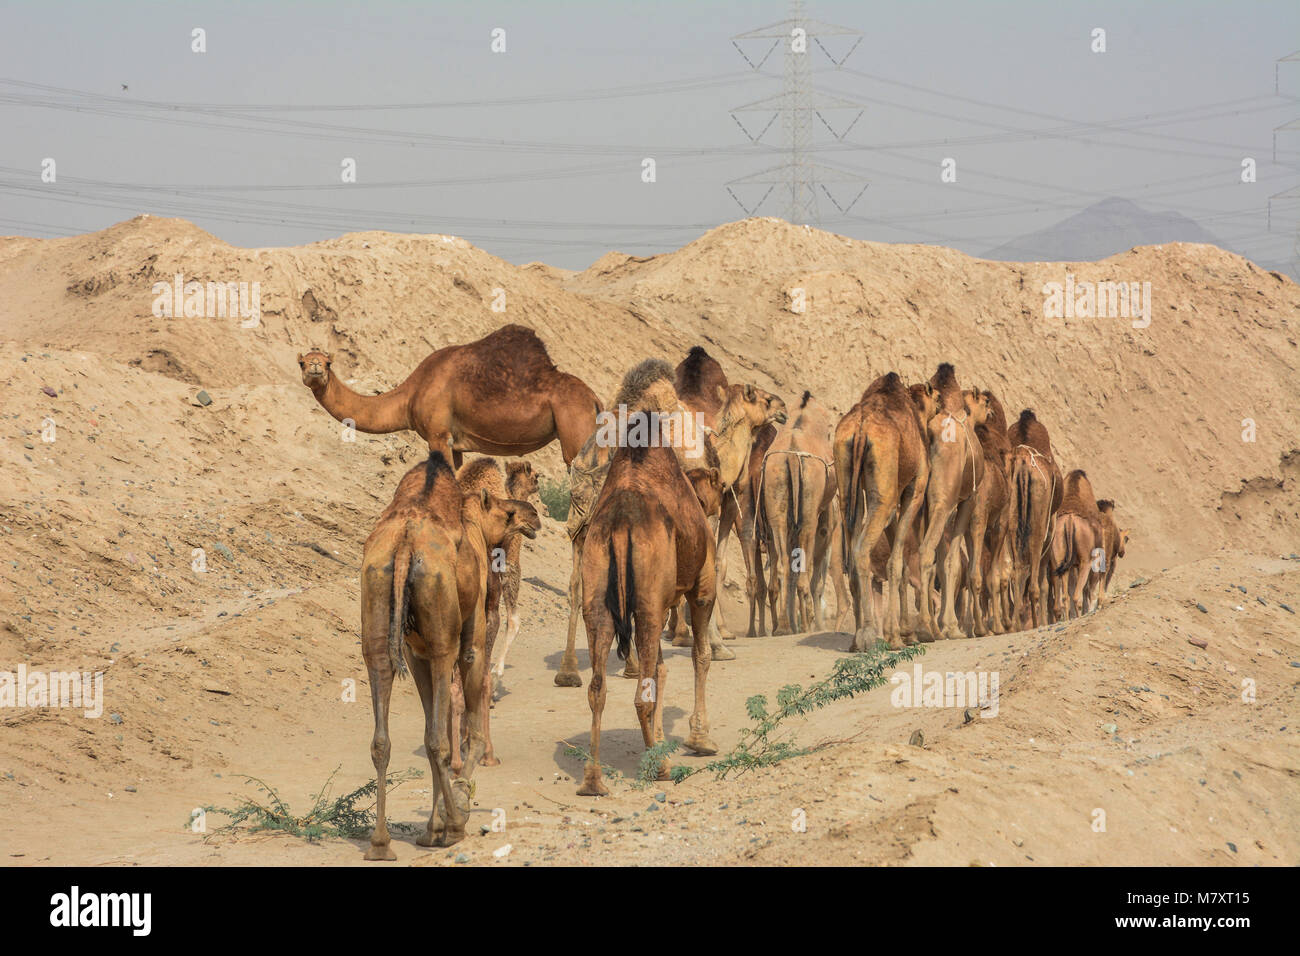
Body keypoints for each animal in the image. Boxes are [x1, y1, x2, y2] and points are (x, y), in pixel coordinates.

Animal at [298, 324, 601, 467]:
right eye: (302, 362)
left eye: (328, 362)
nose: (315, 367)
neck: (412, 392)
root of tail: (595, 400)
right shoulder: (456, 445)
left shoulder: (438, 435)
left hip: (574, 427)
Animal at [359, 452, 536, 858]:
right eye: (507, 512)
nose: (533, 515)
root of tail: (405, 547)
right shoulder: (472, 635)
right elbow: (473, 714)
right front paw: (455, 809)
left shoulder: (416, 654)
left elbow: (431, 727)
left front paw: (432, 824)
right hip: (444, 643)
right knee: (442, 734)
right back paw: (454, 823)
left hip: (379, 631)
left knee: (385, 739)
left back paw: (381, 843)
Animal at [576, 442, 718, 795]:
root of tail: (619, 526)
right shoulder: (703, 584)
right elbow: (701, 655)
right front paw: (700, 739)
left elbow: (660, 669)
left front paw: (663, 739)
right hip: (648, 601)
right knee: (641, 695)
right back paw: (661, 768)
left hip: (595, 588)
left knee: (597, 687)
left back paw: (593, 780)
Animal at [756, 391, 841, 633]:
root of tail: (793, 455)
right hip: (809, 507)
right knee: (803, 569)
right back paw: (807, 623)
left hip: (775, 488)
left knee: (784, 563)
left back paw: (783, 627)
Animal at [833, 372, 932, 651]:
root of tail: (860, 430)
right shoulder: (914, 489)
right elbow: (897, 563)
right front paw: (899, 635)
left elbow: (900, 563)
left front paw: (905, 633)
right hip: (884, 493)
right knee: (860, 550)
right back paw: (868, 635)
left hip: (849, 489)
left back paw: (856, 640)